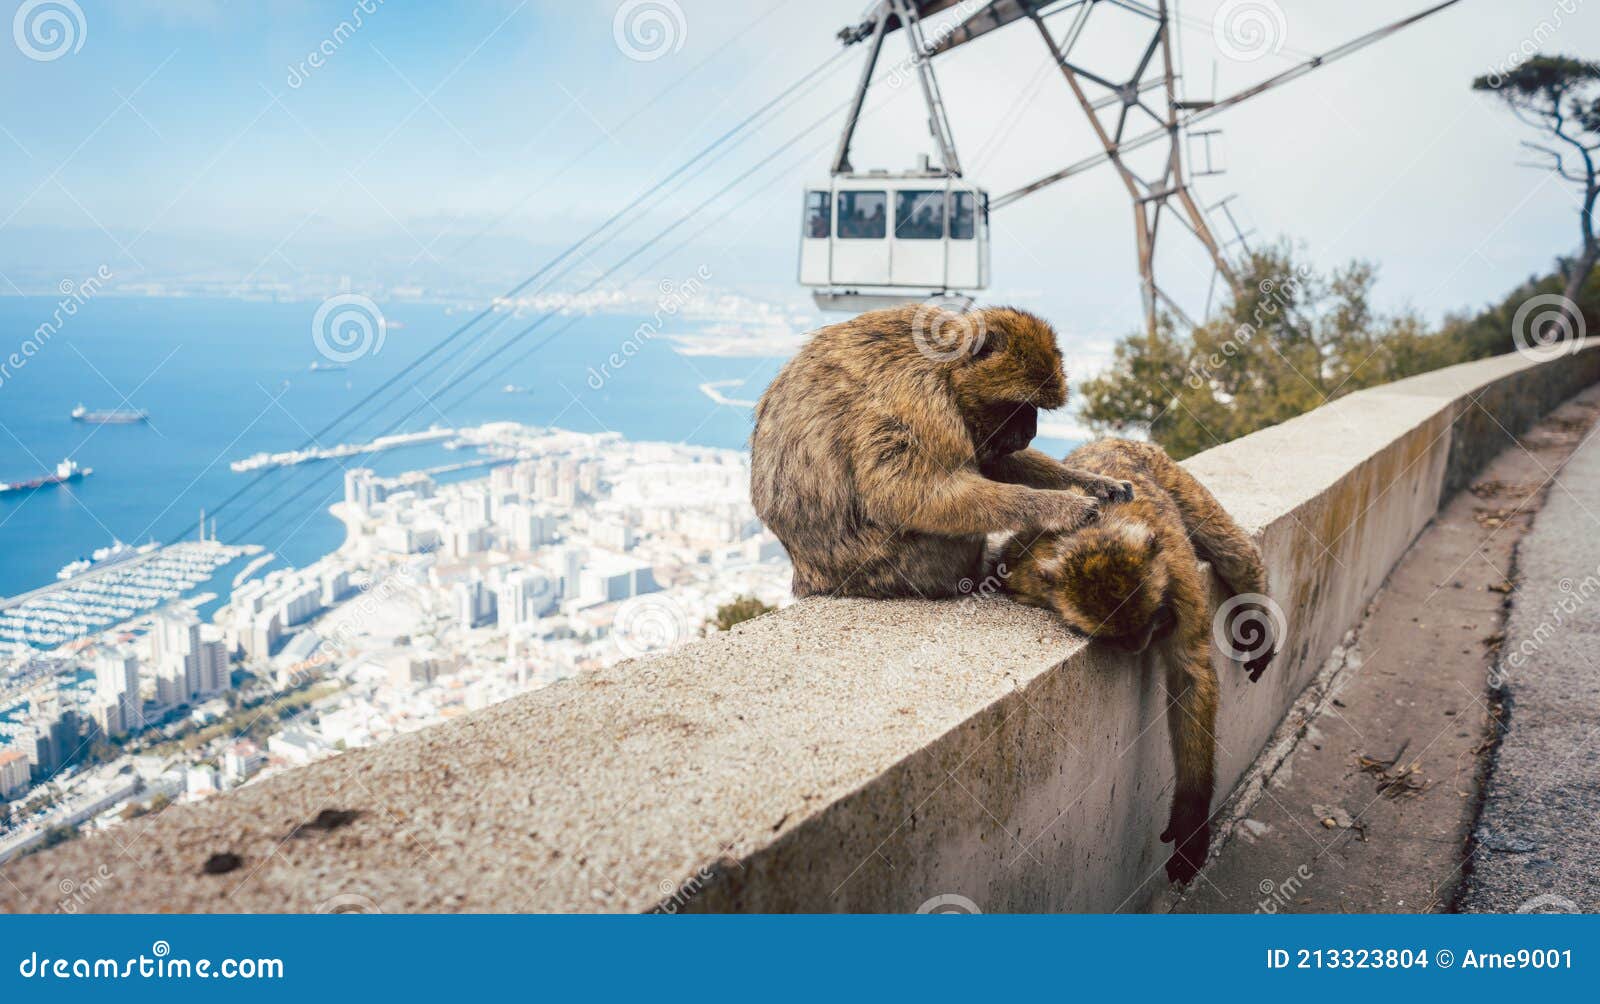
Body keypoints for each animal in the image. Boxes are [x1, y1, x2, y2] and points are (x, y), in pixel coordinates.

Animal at [750, 303, 1133, 600]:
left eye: (1035, 408)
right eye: (1019, 405)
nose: (1030, 433)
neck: (946, 371)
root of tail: (810, 575)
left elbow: (994, 462)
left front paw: (1096, 482)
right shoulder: (920, 403)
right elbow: (909, 494)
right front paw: (1060, 507)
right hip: (896, 567)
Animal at [997, 438, 1275, 884]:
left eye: (1148, 621)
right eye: (1119, 637)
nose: (1139, 645)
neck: (1098, 532)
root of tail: (1111, 441)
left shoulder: (1177, 574)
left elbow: (1190, 671)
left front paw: (1191, 815)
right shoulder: (1025, 568)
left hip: (1173, 477)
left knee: (1231, 548)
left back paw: (1258, 617)